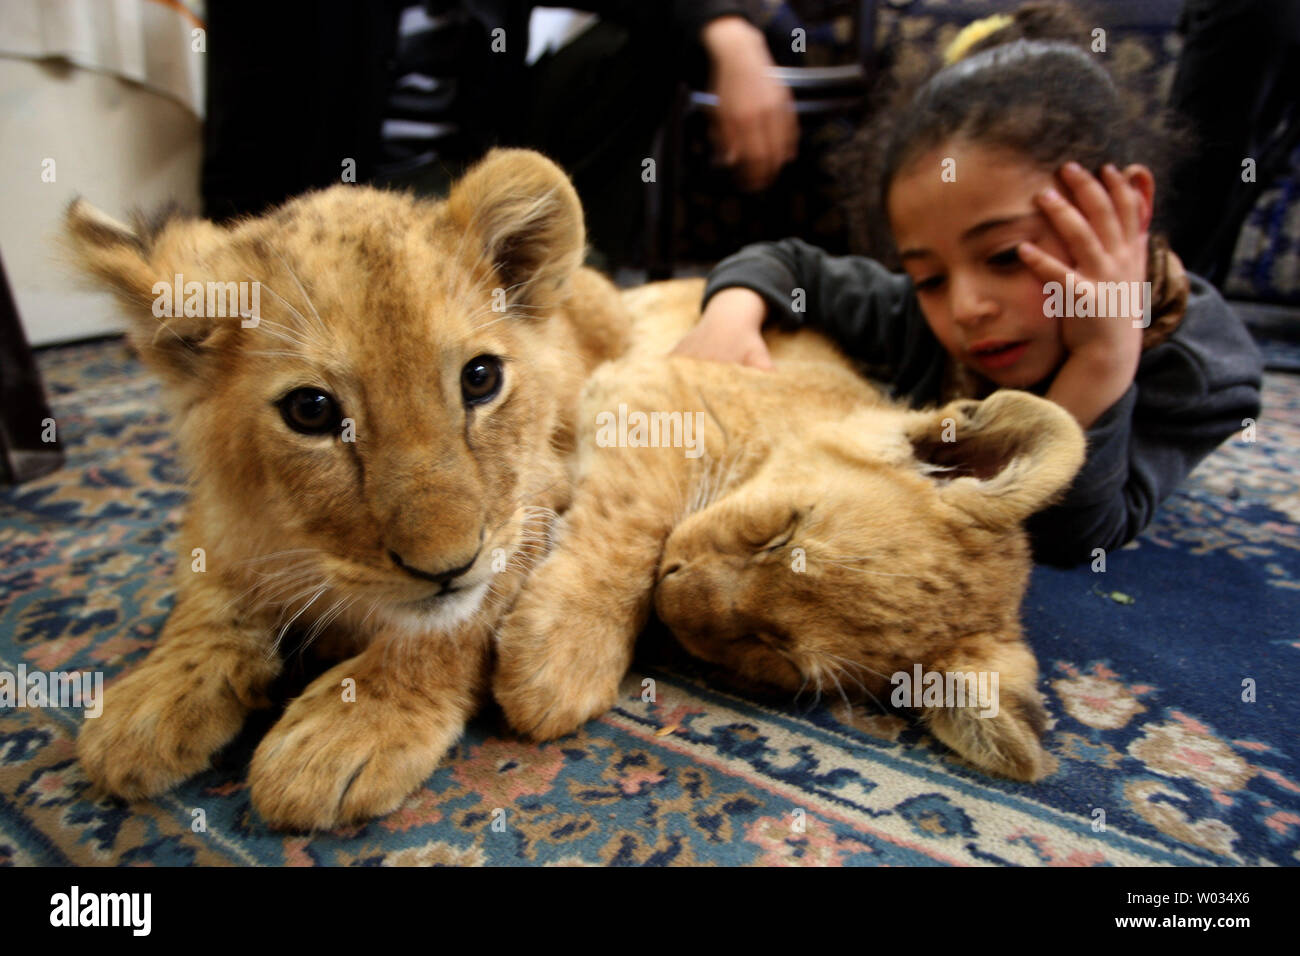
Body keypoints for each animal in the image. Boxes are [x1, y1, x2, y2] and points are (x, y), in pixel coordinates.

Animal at [65, 149, 630, 829]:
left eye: (481, 378)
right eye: (310, 410)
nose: (447, 566)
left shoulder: (538, 491)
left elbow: (454, 620)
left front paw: (354, 725)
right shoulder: (216, 519)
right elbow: (208, 599)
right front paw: (152, 697)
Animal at [493, 278, 1085, 781]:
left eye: (780, 653)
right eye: (782, 532)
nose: (669, 599)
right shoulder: (659, 400)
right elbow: (635, 525)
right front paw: (563, 661)